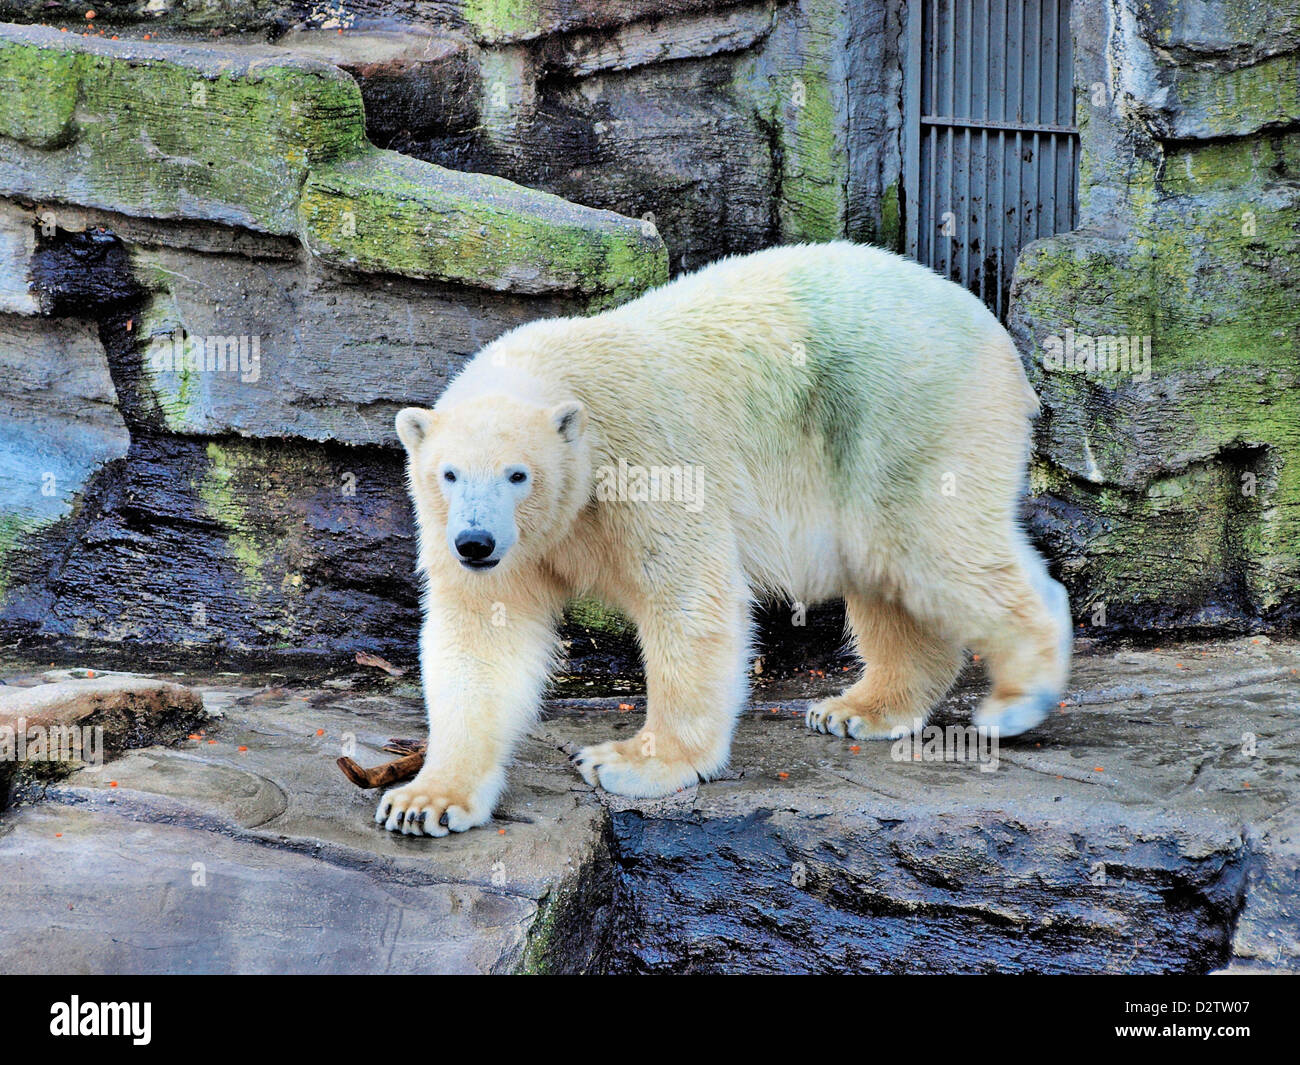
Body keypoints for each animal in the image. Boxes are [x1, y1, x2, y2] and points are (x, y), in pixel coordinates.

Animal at [377, 241, 1072, 837]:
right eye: (449, 473)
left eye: (518, 474)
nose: (475, 542)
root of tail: (991, 330)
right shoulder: (499, 538)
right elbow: (482, 635)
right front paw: (425, 801)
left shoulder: (644, 458)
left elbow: (689, 597)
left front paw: (632, 762)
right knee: (888, 569)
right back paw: (861, 708)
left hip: (906, 410)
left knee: (929, 547)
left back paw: (1017, 697)